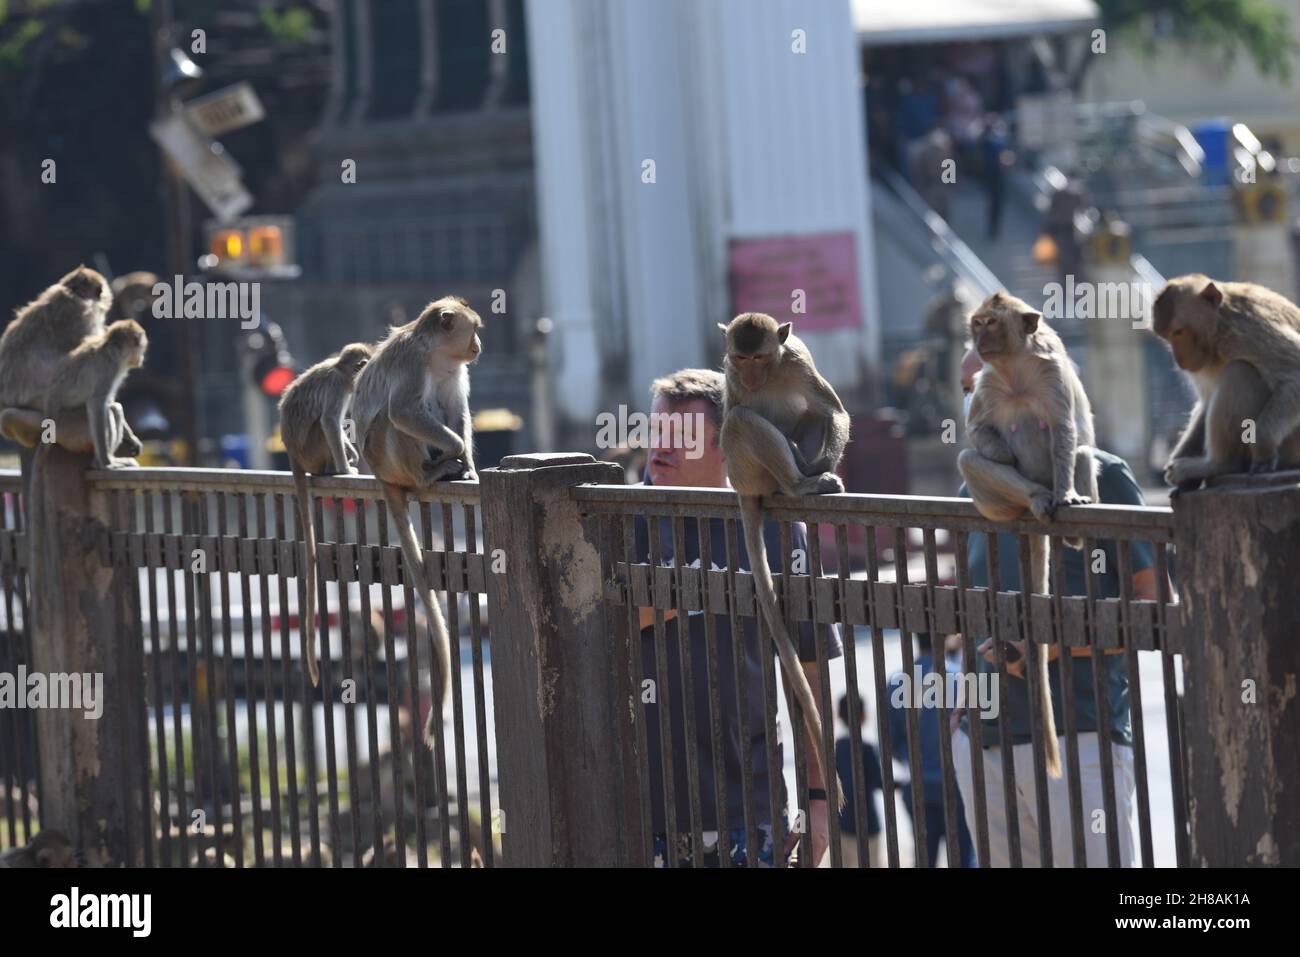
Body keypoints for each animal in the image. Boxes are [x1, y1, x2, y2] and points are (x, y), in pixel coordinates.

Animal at [278, 342, 374, 686]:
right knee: (322, 426)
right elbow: (331, 422)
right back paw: (334, 469)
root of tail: (292, 453)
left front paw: (352, 454)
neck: (339, 369)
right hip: (313, 450)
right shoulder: (338, 387)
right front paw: (346, 467)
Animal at [350, 296, 482, 748]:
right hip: (386, 455)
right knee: (394, 420)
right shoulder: (412, 363)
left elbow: (458, 412)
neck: (437, 355)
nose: (478, 345)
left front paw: (470, 464)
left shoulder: (456, 371)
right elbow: (405, 411)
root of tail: (381, 474)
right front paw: (457, 452)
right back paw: (434, 471)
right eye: (475, 328)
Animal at [716, 312, 849, 811]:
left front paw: (825, 460)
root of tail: (741, 488)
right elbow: (733, 413)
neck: (769, 374)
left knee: (809, 415)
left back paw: (811, 474)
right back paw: (797, 485)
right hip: (747, 472)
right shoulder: (730, 377)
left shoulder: (798, 360)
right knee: (738, 423)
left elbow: (832, 410)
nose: (752, 378)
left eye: (759, 358)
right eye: (739, 359)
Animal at [1152, 274, 1300, 490]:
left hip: (1291, 445)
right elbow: (1206, 402)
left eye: (1178, 332)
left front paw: (1262, 448)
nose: (1179, 360)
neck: (1219, 328)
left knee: (1239, 370)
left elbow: (1294, 375)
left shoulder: (1250, 330)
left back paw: (1221, 465)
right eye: (1167, 336)